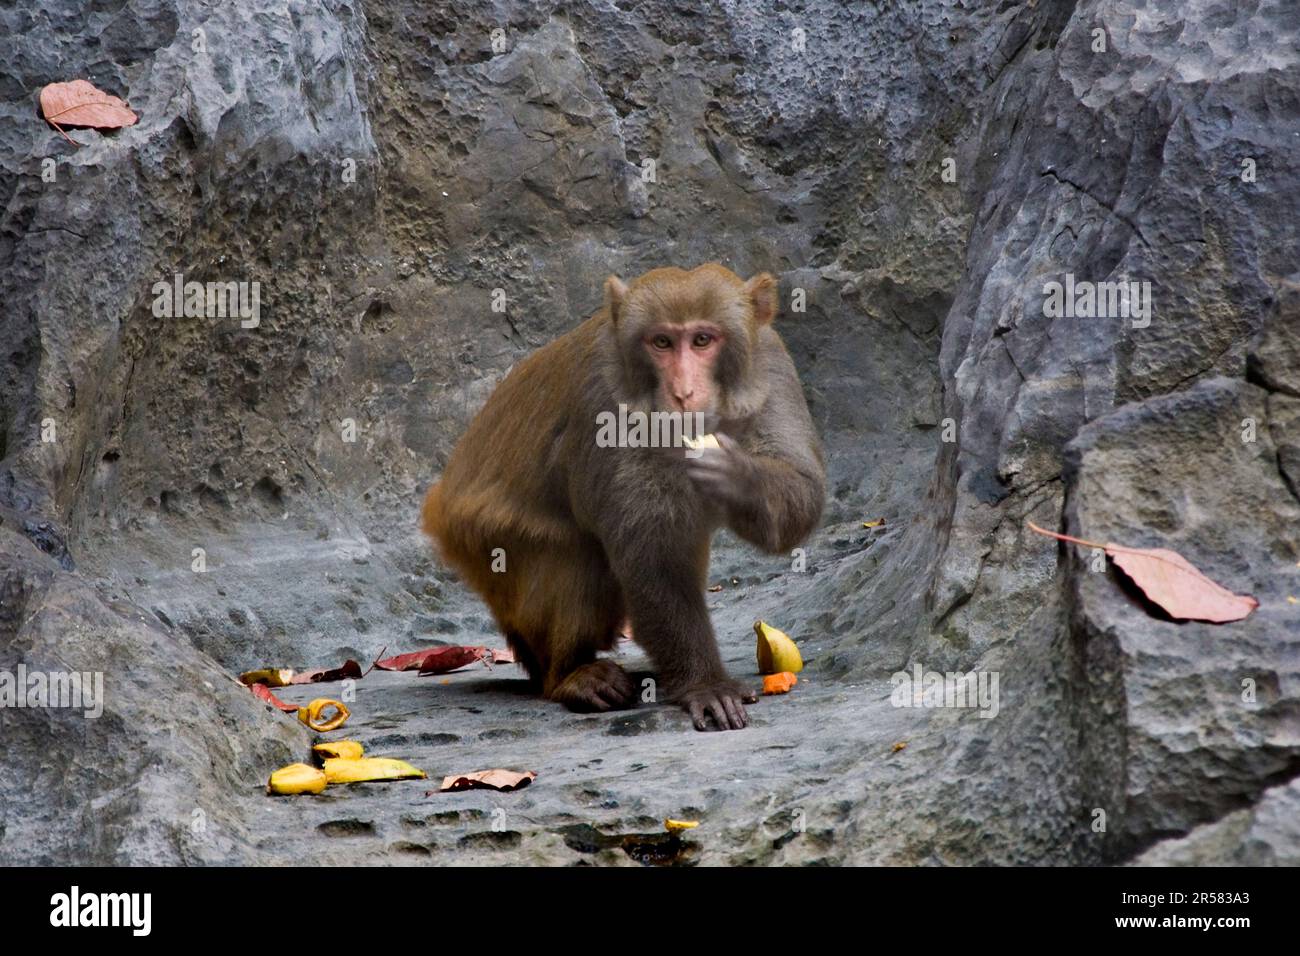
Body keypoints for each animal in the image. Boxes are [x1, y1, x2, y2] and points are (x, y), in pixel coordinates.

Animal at [421, 263, 825, 730]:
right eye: (662, 342)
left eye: (702, 340)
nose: (683, 393)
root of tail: (439, 508)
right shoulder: (605, 402)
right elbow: (653, 558)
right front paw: (706, 685)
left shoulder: (771, 366)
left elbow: (802, 495)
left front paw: (735, 474)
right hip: (481, 543)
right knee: (574, 554)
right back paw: (572, 676)